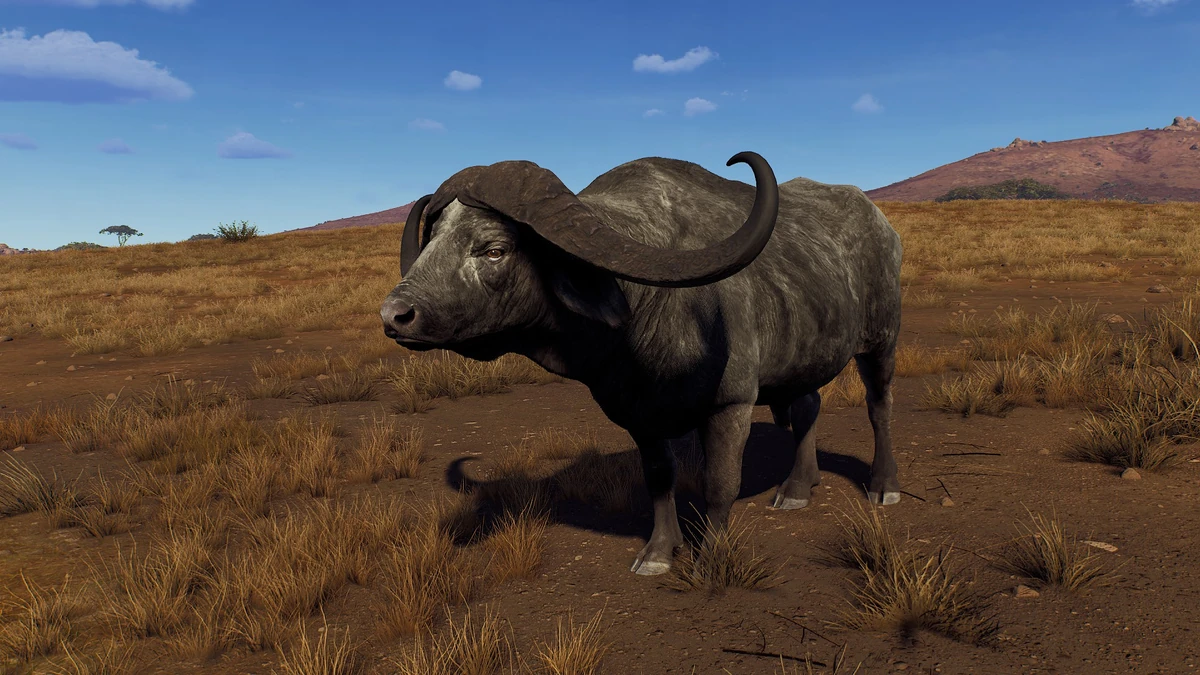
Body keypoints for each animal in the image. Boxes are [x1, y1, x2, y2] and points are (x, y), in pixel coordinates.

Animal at [381, 152, 903, 575]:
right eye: (433, 241)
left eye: (493, 249)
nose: (395, 315)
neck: (646, 308)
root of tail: (881, 224)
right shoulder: (637, 415)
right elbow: (658, 479)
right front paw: (658, 552)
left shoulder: (730, 405)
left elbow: (720, 484)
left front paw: (711, 556)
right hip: (803, 361)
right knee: (807, 405)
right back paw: (797, 486)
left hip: (881, 341)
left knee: (879, 407)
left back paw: (883, 485)